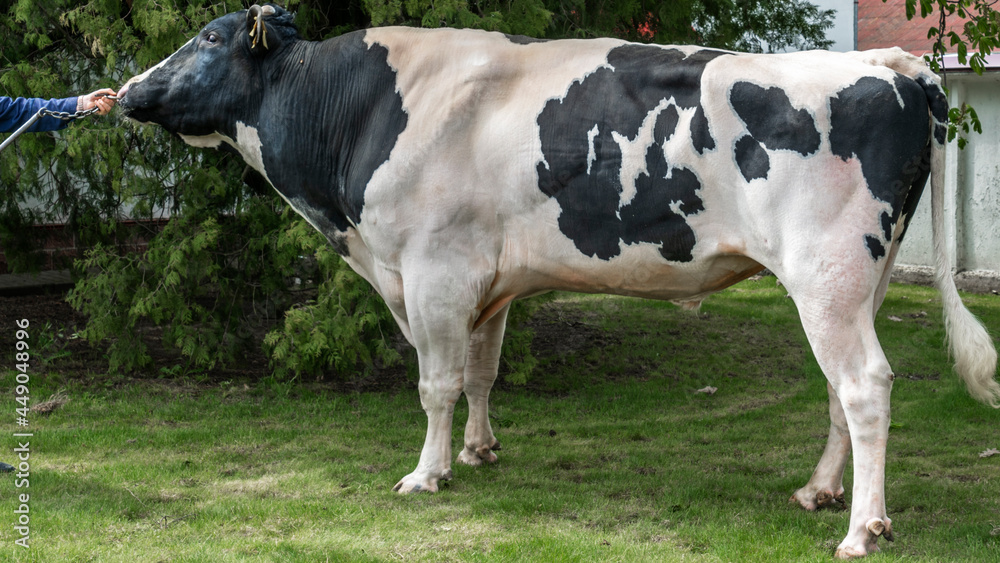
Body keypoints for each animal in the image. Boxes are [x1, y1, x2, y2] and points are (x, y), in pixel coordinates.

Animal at [117, 4, 1000, 558]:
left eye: (208, 36)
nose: (125, 91)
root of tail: (884, 62)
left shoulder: (431, 270)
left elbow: (435, 383)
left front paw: (426, 472)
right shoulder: (486, 278)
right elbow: (481, 371)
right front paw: (477, 451)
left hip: (827, 271)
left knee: (865, 386)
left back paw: (860, 528)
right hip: (860, 279)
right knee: (838, 390)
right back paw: (818, 491)